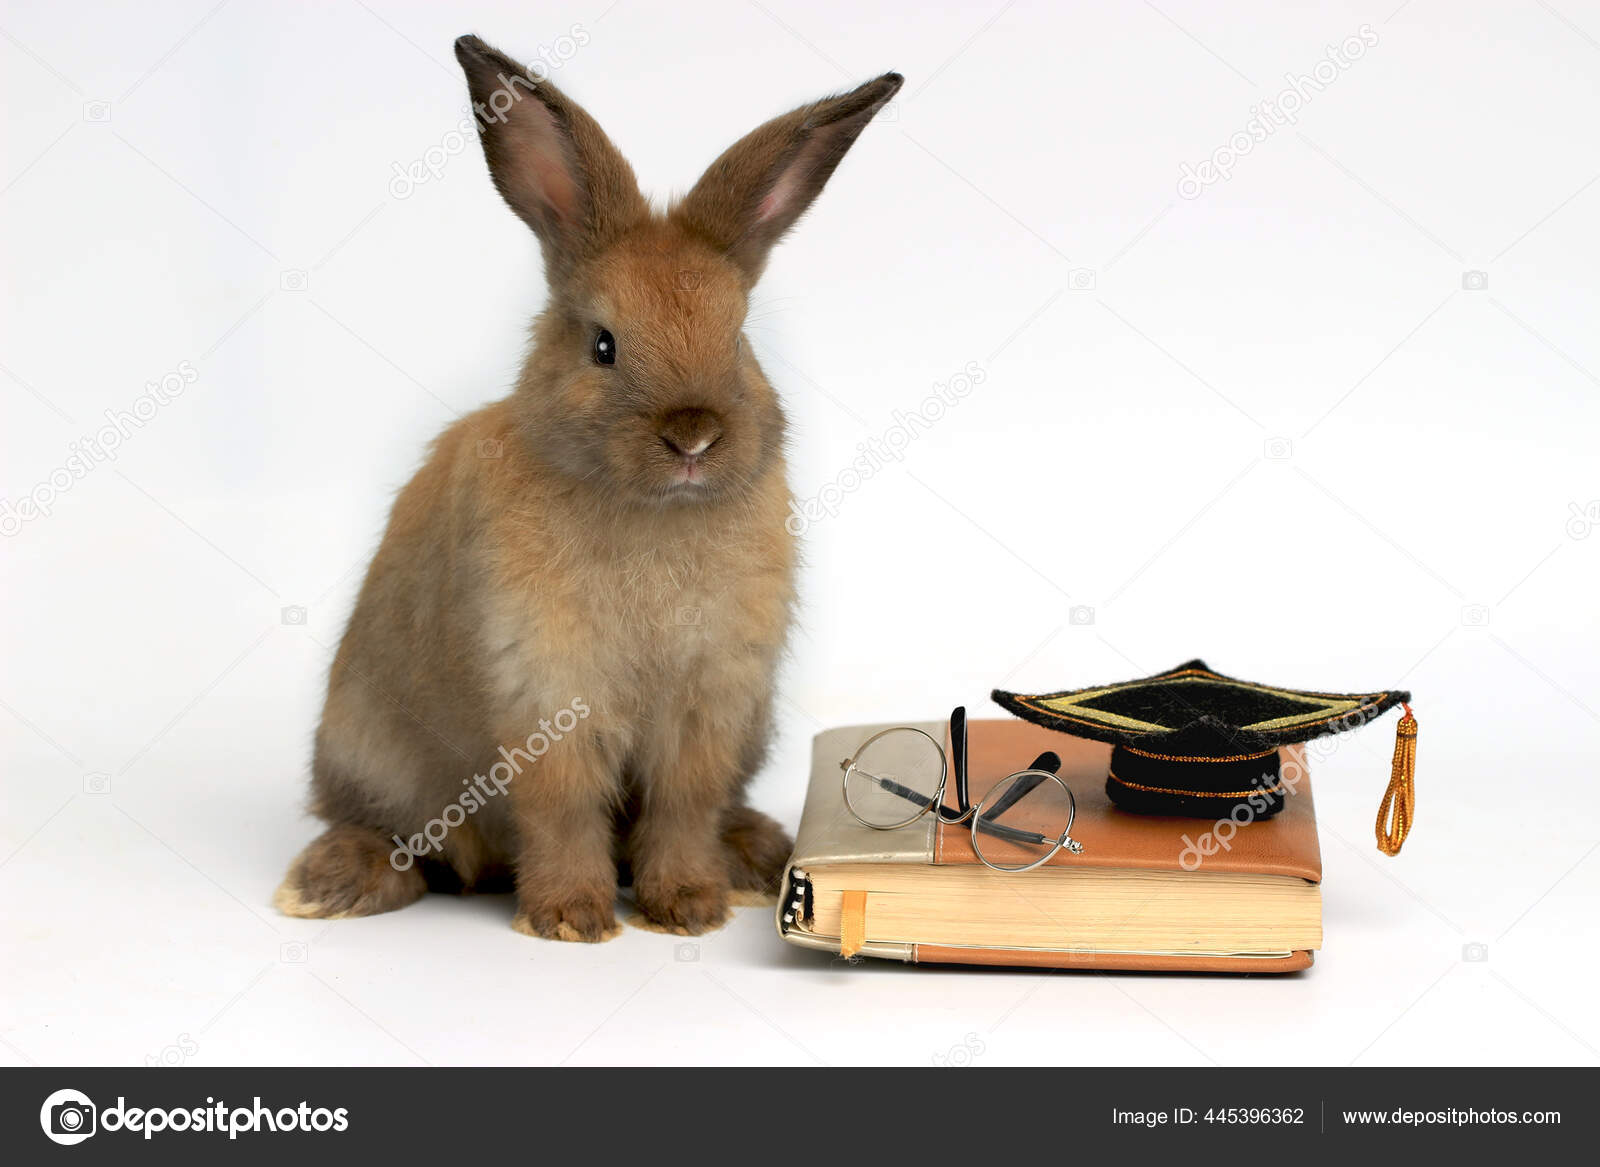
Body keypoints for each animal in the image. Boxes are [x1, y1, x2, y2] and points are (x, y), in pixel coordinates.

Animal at [273, 34, 902, 941]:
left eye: (738, 336)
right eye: (603, 344)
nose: (692, 436)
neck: (652, 513)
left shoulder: (707, 706)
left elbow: (682, 806)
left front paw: (689, 907)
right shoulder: (549, 697)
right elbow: (564, 809)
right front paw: (572, 917)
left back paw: (751, 857)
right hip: (371, 753)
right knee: (399, 839)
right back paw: (331, 881)